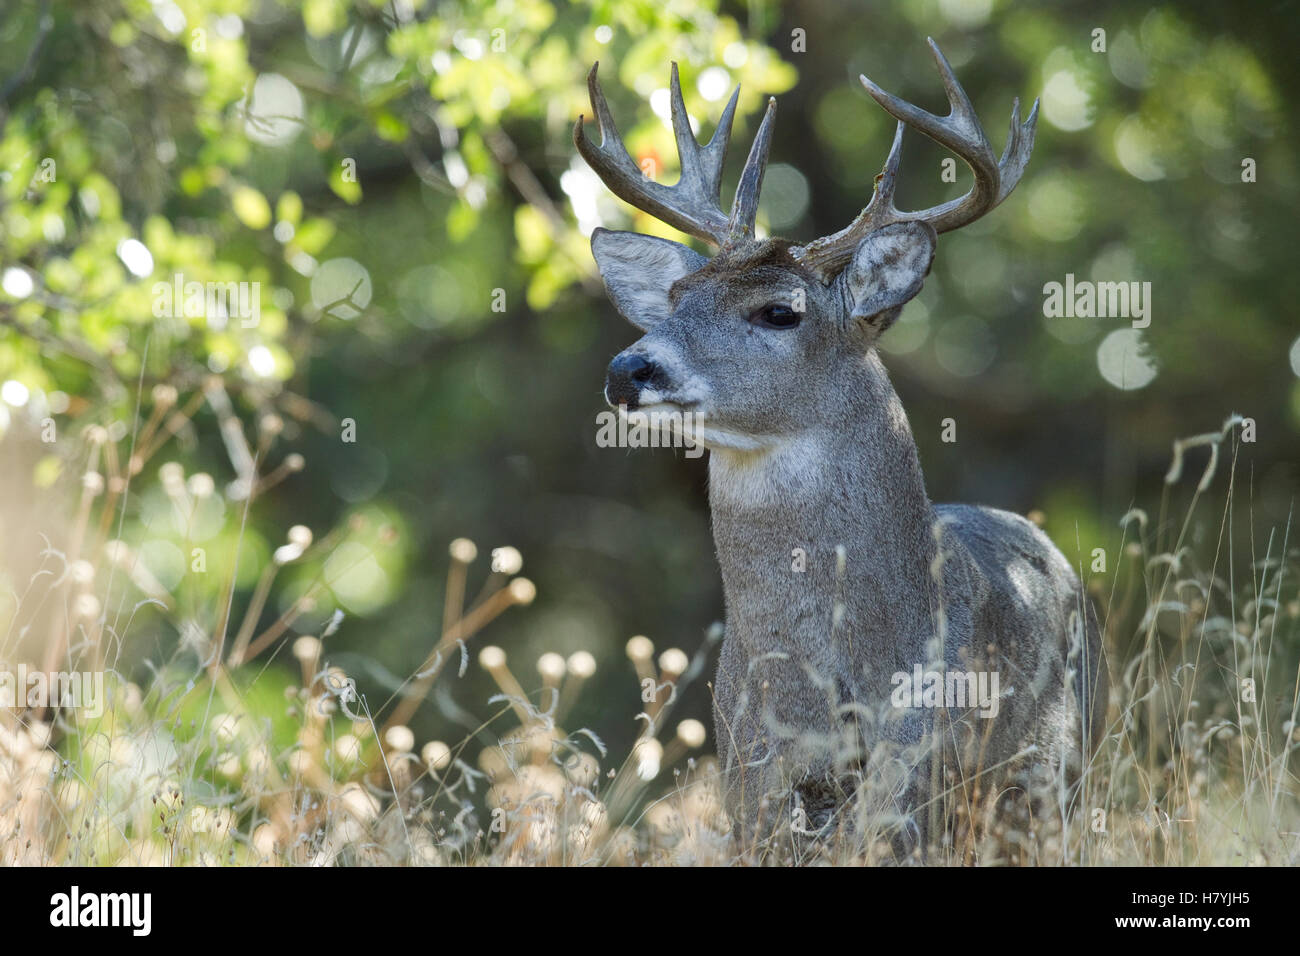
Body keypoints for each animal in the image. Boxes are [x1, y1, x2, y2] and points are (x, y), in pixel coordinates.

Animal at [574, 39, 1108, 860]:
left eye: (779, 312)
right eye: (676, 298)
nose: (629, 369)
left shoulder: (916, 773)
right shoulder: (749, 779)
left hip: (1051, 772)